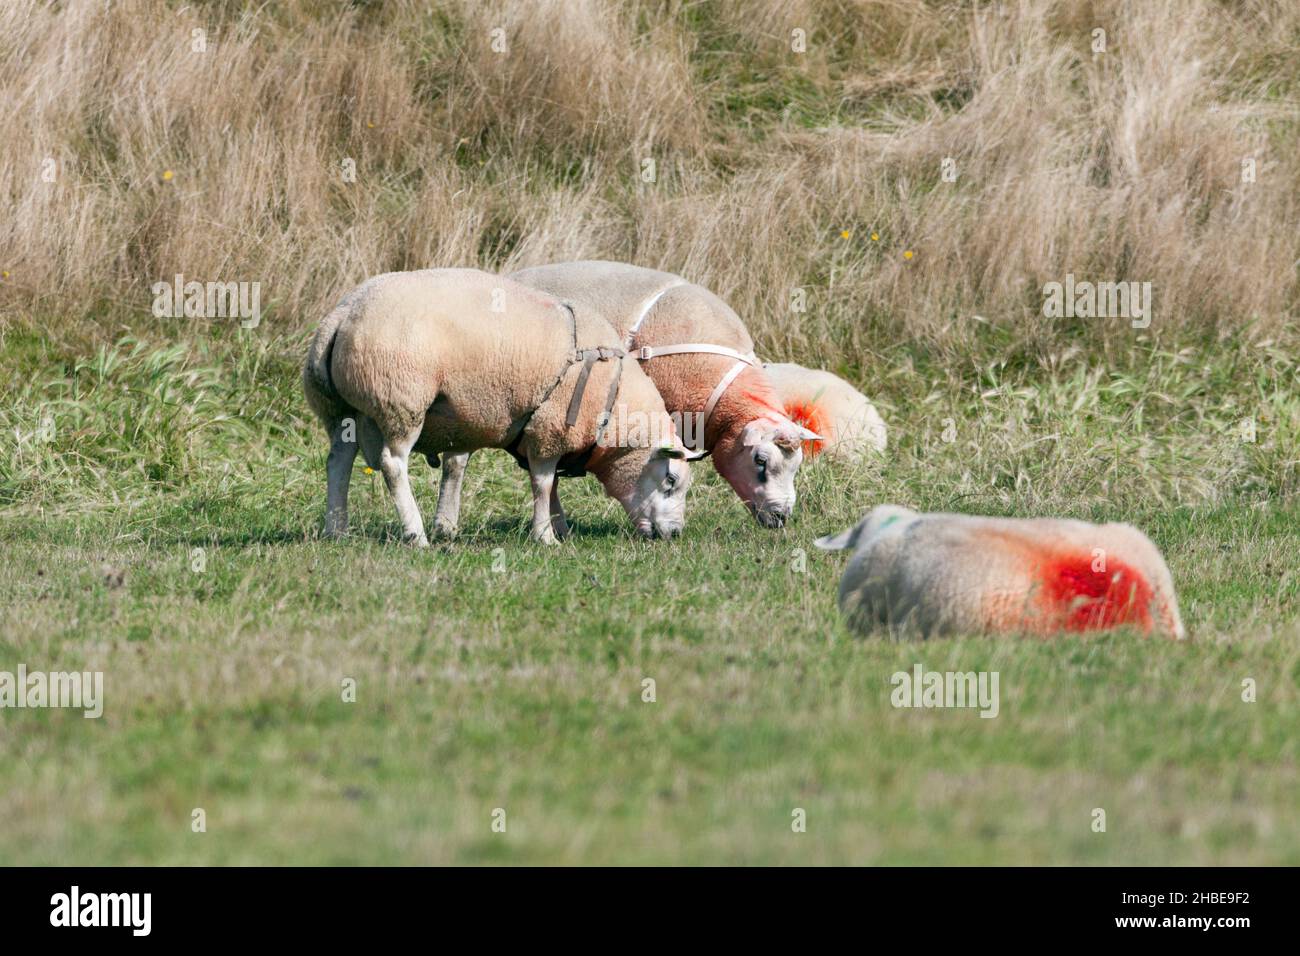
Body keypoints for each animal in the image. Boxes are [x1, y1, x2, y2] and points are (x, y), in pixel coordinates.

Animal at [302, 268, 693, 545]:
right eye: (670, 480)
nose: (675, 534)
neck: (613, 402)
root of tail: (344, 312)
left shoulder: (538, 432)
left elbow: (548, 484)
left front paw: (559, 528)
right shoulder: (550, 427)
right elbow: (543, 483)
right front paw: (546, 536)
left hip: (340, 410)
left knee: (338, 461)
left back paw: (336, 529)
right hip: (401, 399)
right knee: (392, 464)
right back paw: (416, 534)